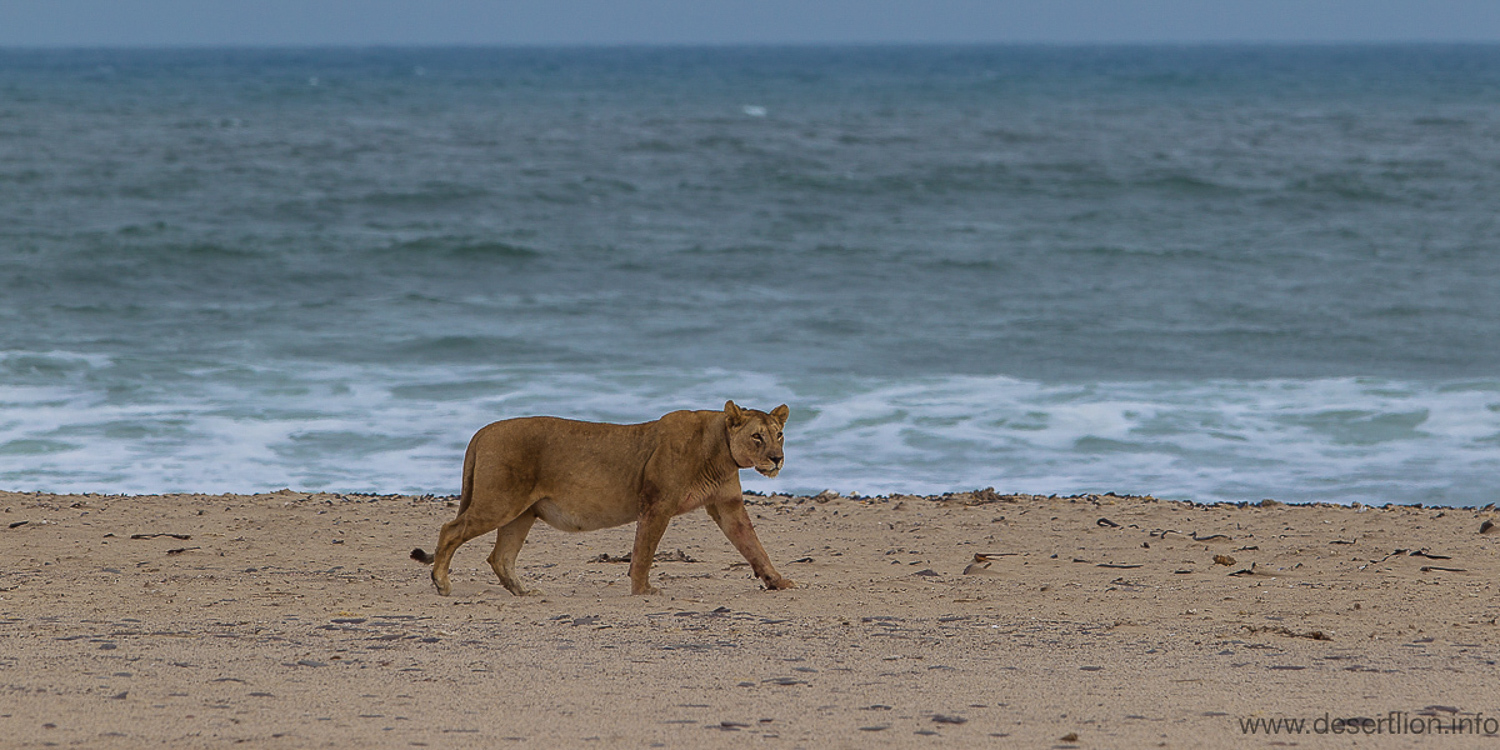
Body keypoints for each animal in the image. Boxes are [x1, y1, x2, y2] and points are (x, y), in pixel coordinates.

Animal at [411, 401, 795, 597]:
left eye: (779, 434)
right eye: (757, 437)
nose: (777, 458)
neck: (719, 449)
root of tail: (482, 430)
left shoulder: (728, 507)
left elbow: (753, 546)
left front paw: (777, 581)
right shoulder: (657, 503)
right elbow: (644, 551)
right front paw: (643, 590)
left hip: (521, 513)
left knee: (500, 556)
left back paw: (523, 591)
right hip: (498, 503)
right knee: (450, 530)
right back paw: (441, 583)